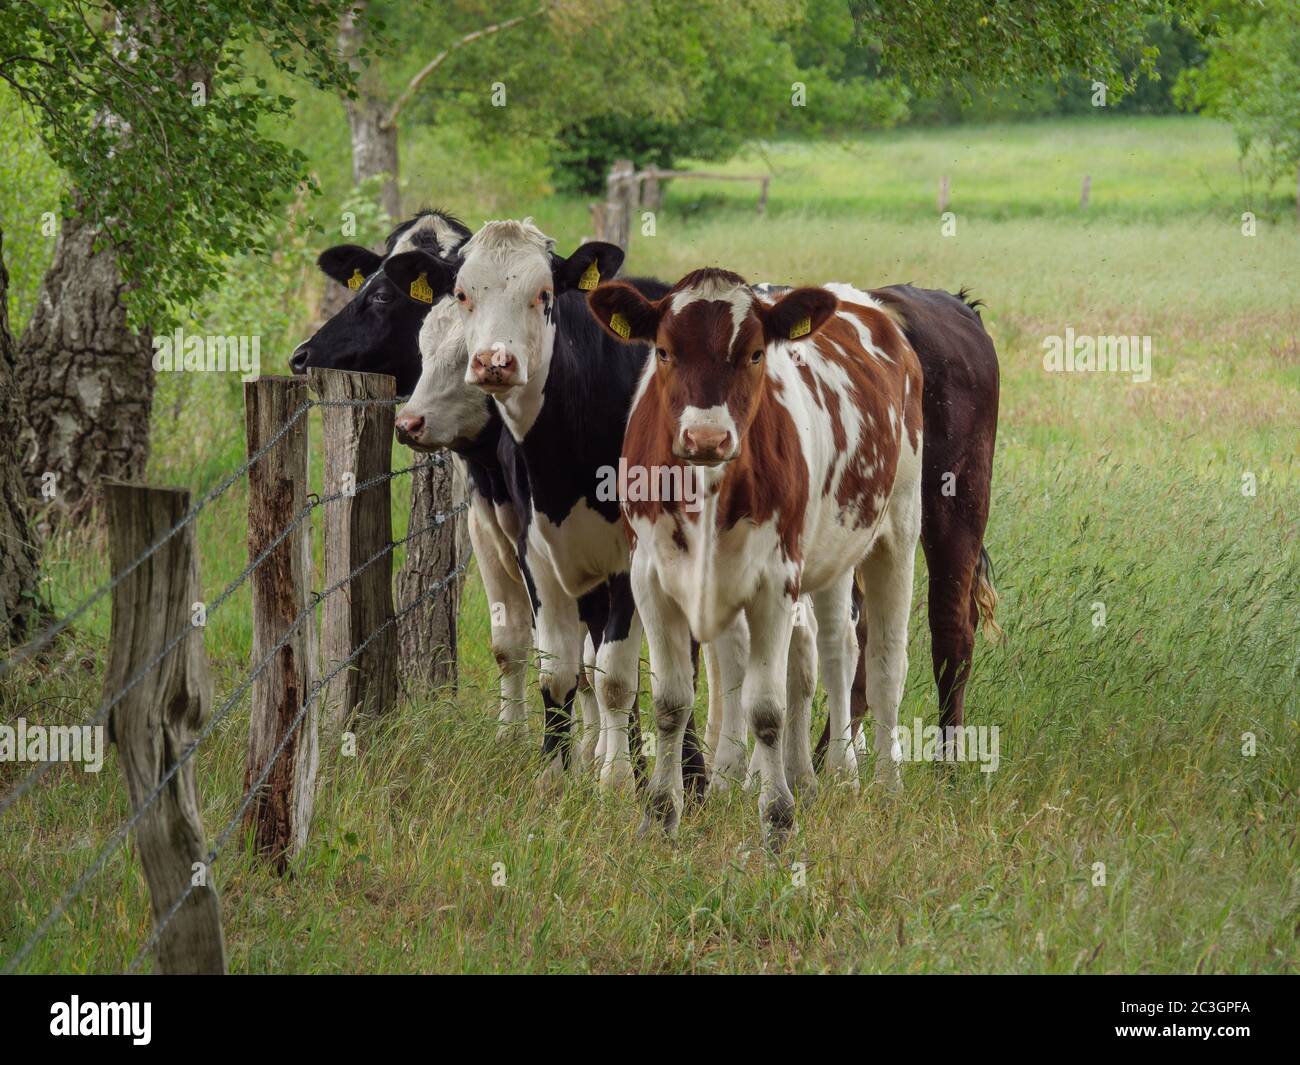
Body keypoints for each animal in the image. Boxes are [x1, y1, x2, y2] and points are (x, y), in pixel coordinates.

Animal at [587, 269, 925, 847]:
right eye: (664, 351)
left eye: (753, 354)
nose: (706, 436)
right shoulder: (650, 579)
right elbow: (672, 701)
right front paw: (661, 814)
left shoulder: (774, 582)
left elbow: (766, 708)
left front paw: (778, 822)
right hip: (832, 555)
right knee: (833, 650)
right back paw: (819, 775)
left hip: (897, 528)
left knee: (883, 663)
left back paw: (882, 784)